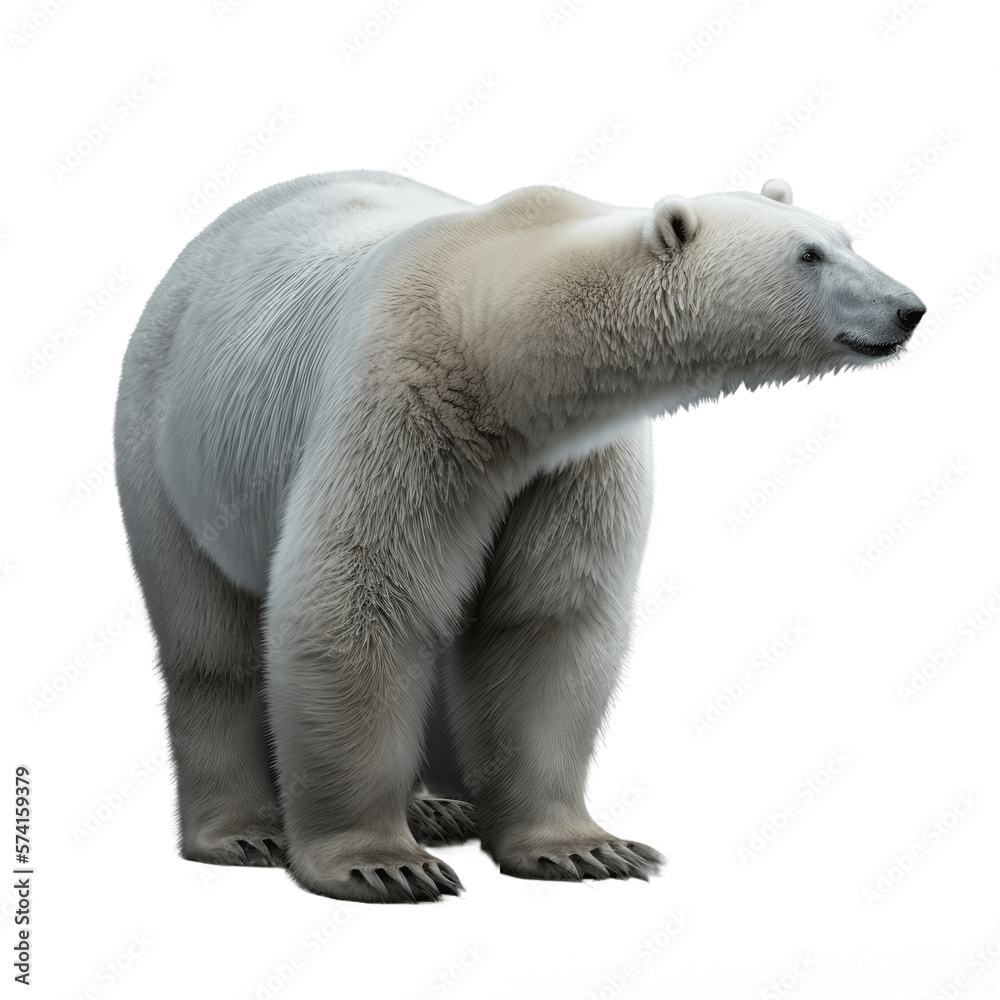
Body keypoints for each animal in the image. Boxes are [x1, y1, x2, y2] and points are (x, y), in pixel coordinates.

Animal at [114, 170, 925, 902]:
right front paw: (381, 865)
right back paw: (245, 831)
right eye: (809, 255)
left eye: (847, 237)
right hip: (172, 449)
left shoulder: (571, 459)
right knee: (208, 643)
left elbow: (543, 618)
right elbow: (361, 598)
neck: (497, 338)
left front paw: (583, 850)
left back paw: (436, 807)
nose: (908, 308)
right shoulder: (403, 403)